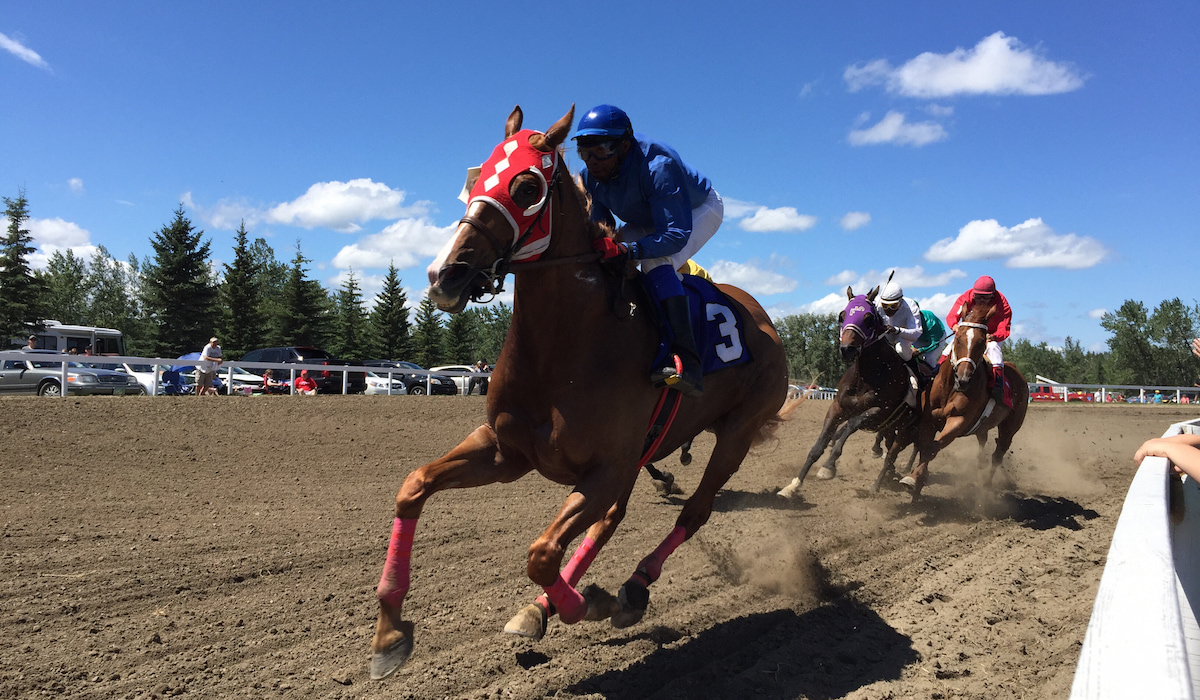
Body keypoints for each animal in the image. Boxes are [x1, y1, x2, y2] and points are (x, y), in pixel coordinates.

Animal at [369, 105, 799, 680]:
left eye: (527, 186)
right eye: (473, 180)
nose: (445, 275)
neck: (569, 344)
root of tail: (764, 319)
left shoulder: (605, 467)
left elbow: (542, 553)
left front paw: (585, 603)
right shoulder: (508, 451)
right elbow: (414, 485)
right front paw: (390, 633)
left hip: (736, 434)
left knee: (693, 512)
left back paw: (631, 587)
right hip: (642, 452)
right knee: (611, 522)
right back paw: (559, 603)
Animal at [777, 286, 920, 499]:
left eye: (868, 318)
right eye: (841, 315)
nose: (847, 349)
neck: (866, 376)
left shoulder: (879, 412)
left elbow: (852, 424)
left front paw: (828, 466)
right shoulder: (837, 408)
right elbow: (818, 446)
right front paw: (793, 485)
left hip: (907, 428)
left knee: (899, 451)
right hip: (891, 427)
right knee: (889, 447)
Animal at [899, 301, 1029, 500]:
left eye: (981, 342)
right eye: (958, 338)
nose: (963, 379)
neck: (949, 388)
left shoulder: (958, 421)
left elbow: (931, 448)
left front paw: (914, 478)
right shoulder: (929, 419)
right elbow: (923, 446)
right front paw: (916, 479)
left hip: (1010, 427)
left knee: (998, 454)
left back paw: (987, 486)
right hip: (982, 427)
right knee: (983, 445)